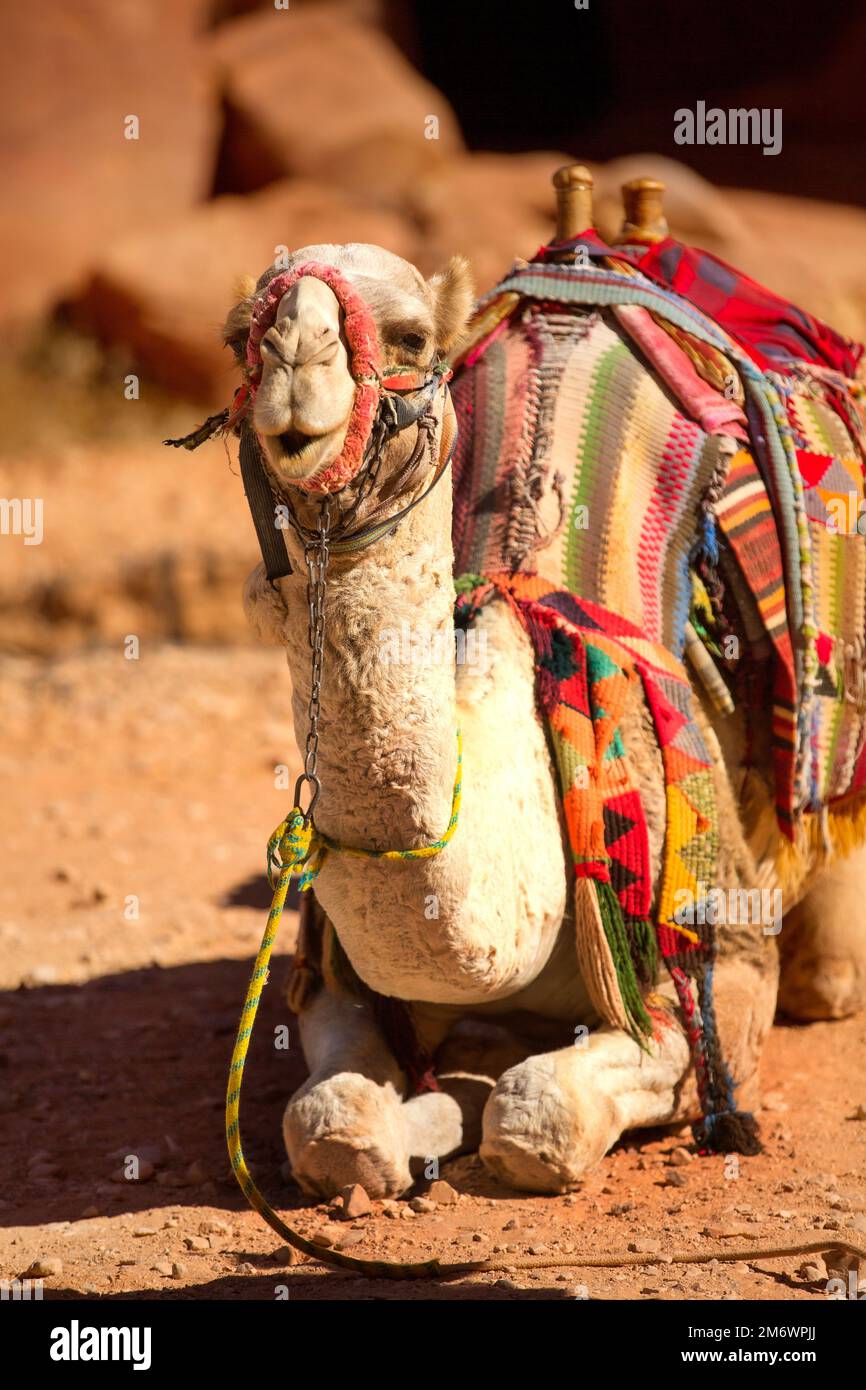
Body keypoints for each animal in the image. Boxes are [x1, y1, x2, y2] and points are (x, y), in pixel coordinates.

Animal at [221, 227, 866, 1200]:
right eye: (243, 338)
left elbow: (537, 1112)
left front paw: (473, 1101)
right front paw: (429, 1114)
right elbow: (328, 1122)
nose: (296, 364)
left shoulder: (719, 962)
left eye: (410, 337)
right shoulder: (335, 975)